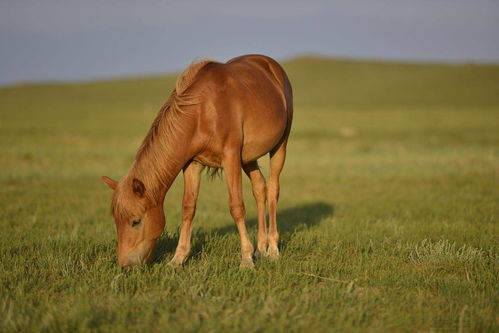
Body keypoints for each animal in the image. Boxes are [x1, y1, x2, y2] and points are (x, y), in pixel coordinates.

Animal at [102, 53, 292, 268]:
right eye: (116, 221)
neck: (204, 111)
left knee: (273, 189)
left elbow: (236, 207)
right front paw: (178, 258)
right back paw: (261, 249)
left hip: (279, 147)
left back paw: (273, 249)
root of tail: (270, 64)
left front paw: (245, 258)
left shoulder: (231, 158)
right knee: (260, 189)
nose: (125, 265)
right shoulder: (193, 164)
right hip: (248, 158)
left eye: (135, 221)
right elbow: (188, 208)